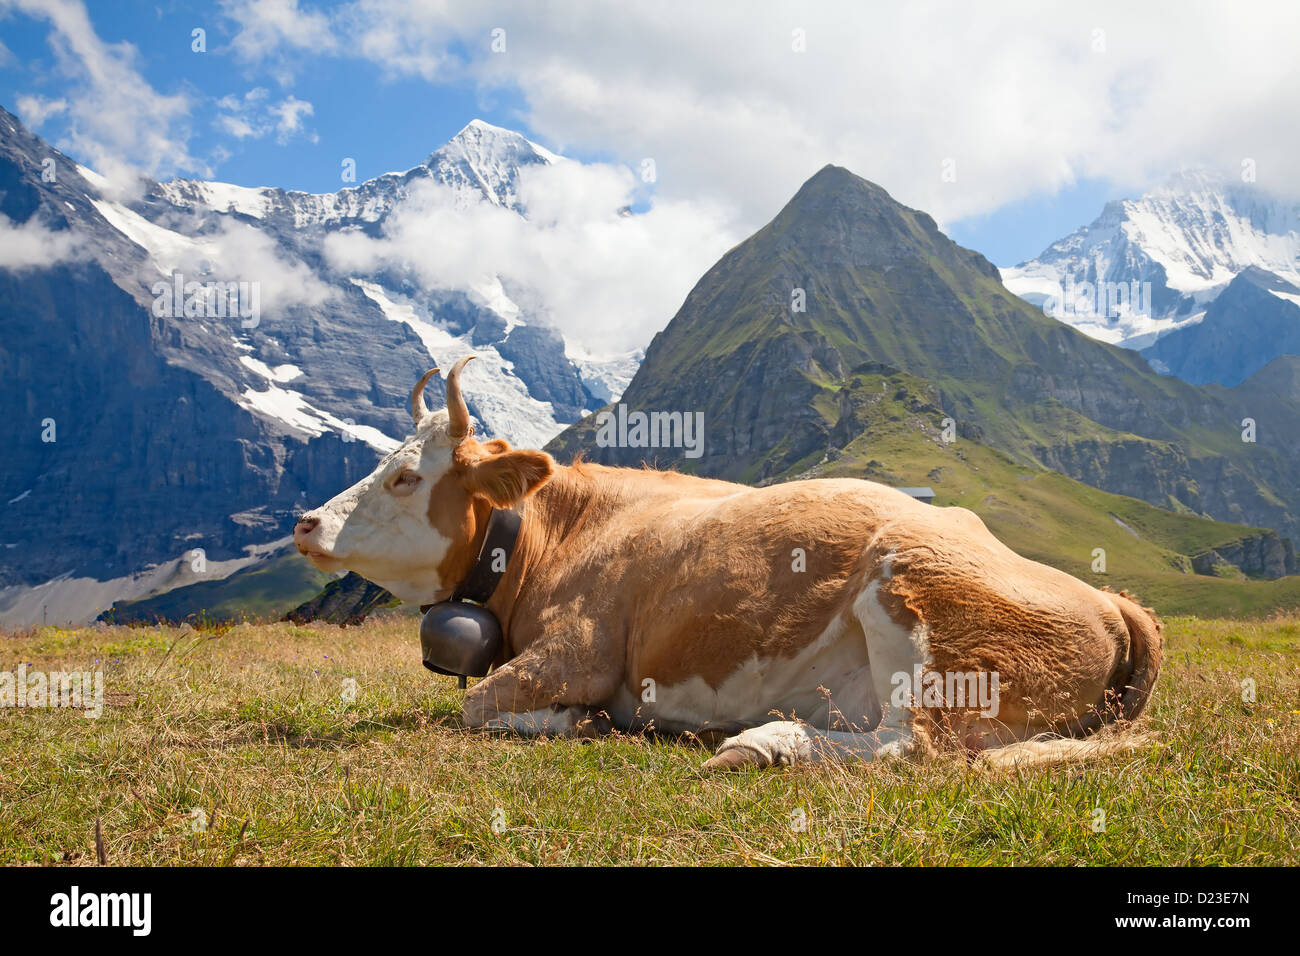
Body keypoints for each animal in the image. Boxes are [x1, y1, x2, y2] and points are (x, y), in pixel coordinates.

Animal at [294, 357, 1162, 770]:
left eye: (406, 477)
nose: (305, 523)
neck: (559, 534)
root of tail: (1110, 599)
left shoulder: (579, 650)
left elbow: (477, 706)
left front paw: (581, 721)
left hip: (913, 596)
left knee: (913, 747)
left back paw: (764, 743)